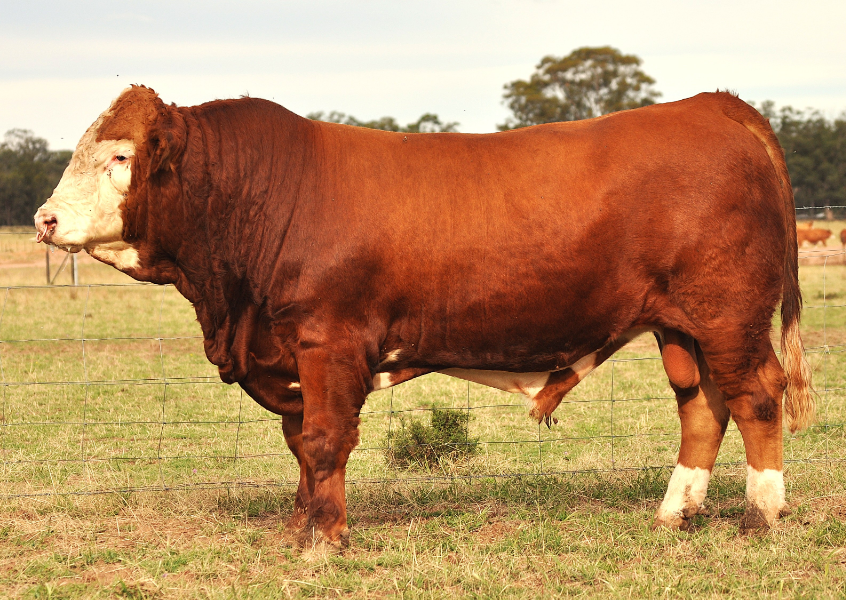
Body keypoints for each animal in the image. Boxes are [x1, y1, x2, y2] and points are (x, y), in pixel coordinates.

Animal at [34, 86, 814, 548]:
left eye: (119, 155)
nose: (43, 219)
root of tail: (710, 104)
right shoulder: (292, 352)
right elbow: (302, 446)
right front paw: (302, 526)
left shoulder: (328, 340)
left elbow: (325, 441)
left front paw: (325, 543)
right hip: (681, 325)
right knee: (703, 404)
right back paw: (675, 511)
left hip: (729, 314)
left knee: (756, 396)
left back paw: (761, 512)